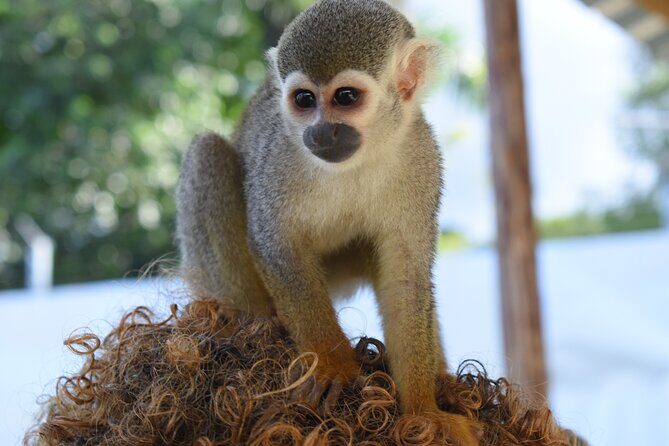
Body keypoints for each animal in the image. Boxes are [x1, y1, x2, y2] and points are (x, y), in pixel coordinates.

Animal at [176, 0, 480, 444]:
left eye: (346, 97)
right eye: (304, 99)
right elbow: (275, 244)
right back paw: (253, 322)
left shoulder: (421, 158)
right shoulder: (279, 156)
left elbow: (407, 279)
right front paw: (333, 363)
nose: (321, 132)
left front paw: (425, 411)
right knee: (208, 153)